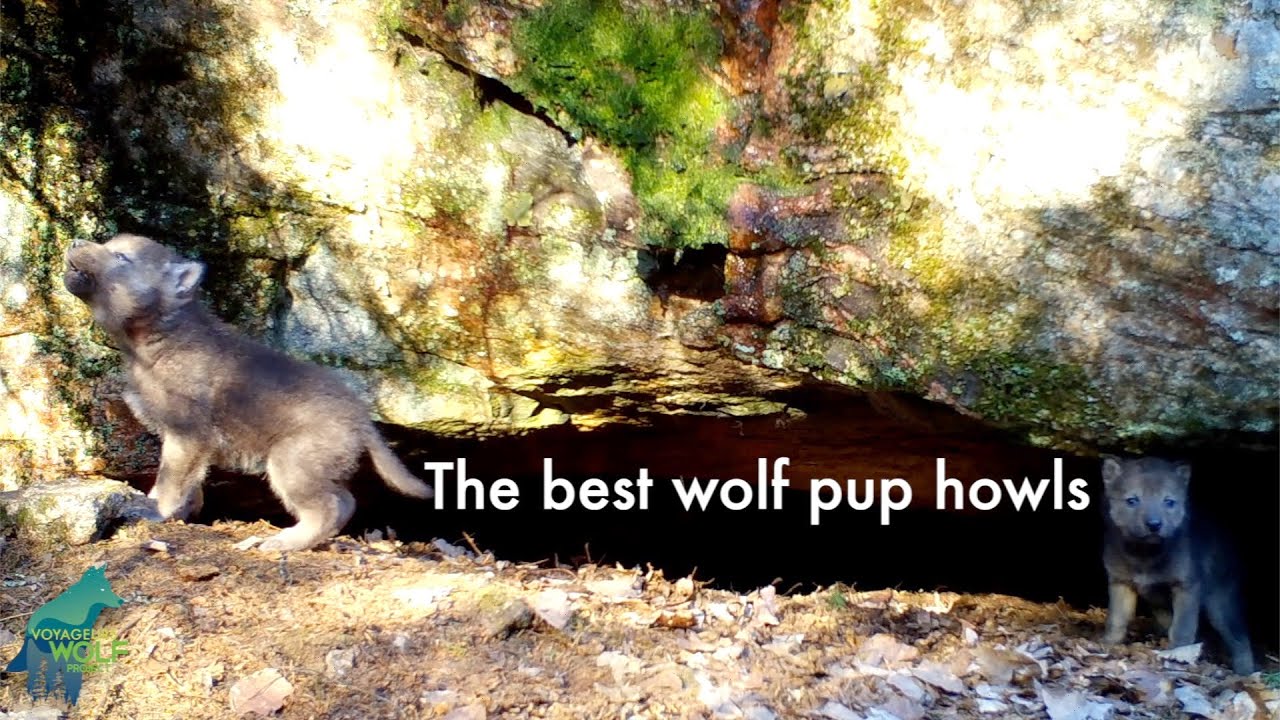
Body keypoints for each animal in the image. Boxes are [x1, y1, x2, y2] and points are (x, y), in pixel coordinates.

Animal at [63, 233, 433, 551]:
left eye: (121, 257)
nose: (75, 241)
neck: (157, 343)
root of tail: (362, 419)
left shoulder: (186, 433)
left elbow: (169, 481)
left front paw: (155, 511)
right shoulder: (186, 441)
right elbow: (191, 483)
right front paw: (184, 514)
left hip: (290, 462)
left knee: (330, 507)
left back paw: (282, 542)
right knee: (343, 501)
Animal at [1099, 456, 1254, 674]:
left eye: (1169, 502)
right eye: (1132, 500)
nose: (1154, 524)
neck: (1145, 556)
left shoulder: (1187, 587)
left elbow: (1183, 629)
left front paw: (1178, 656)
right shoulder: (1120, 583)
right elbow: (1117, 620)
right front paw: (1107, 645)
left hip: (1221, 603)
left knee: (1240, 639)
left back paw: (1246, 673)